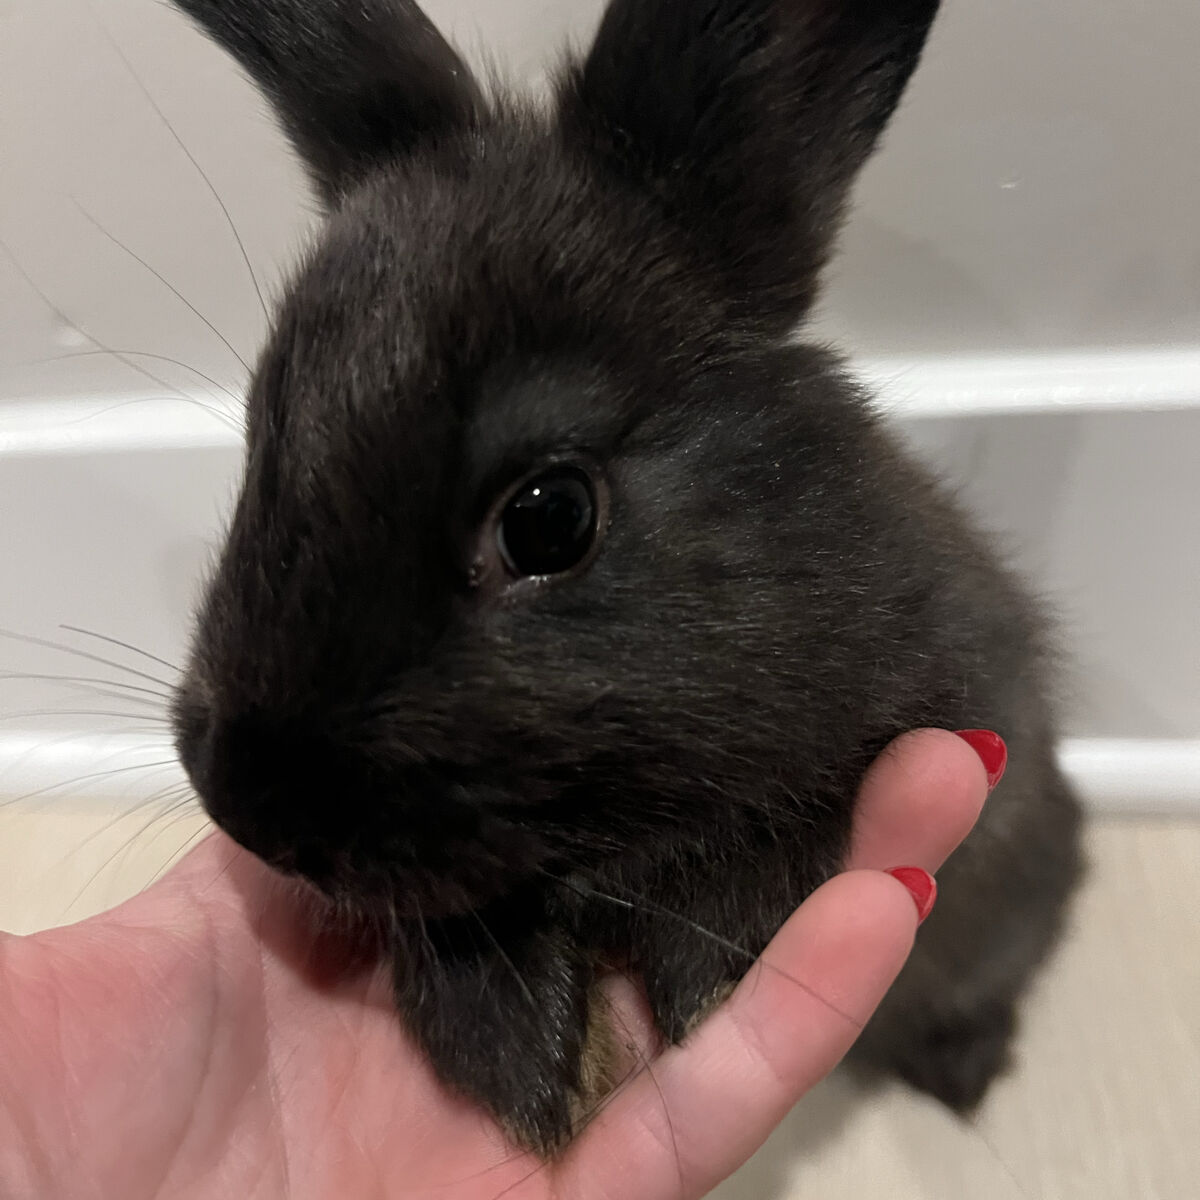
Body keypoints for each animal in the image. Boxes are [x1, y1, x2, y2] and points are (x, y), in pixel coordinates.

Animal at [168, 0, 1084, 1155]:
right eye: (262, 438)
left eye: (549, 518)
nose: (252, 805)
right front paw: (517, 1055)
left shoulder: (952, 700)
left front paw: (704, 973)